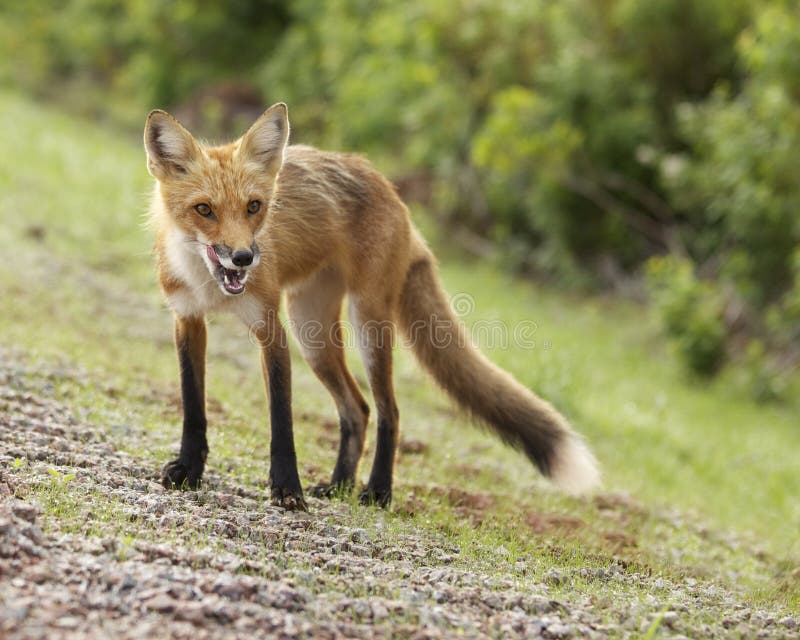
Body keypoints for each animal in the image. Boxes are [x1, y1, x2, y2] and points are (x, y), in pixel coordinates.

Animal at [143, 103, 600, 510]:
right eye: (204, 209)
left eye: (254, 207)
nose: (243, 258)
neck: (210, 285)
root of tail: (391, 191)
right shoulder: (188, 319)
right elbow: (194, 407)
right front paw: (188, 469)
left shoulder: (270, 329)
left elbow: (281, 421)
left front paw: (288, 489)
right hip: (313, 335)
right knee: (357, 410)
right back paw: (339, 485)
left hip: (366, 323)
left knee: (388, 411)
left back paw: (377, 492)